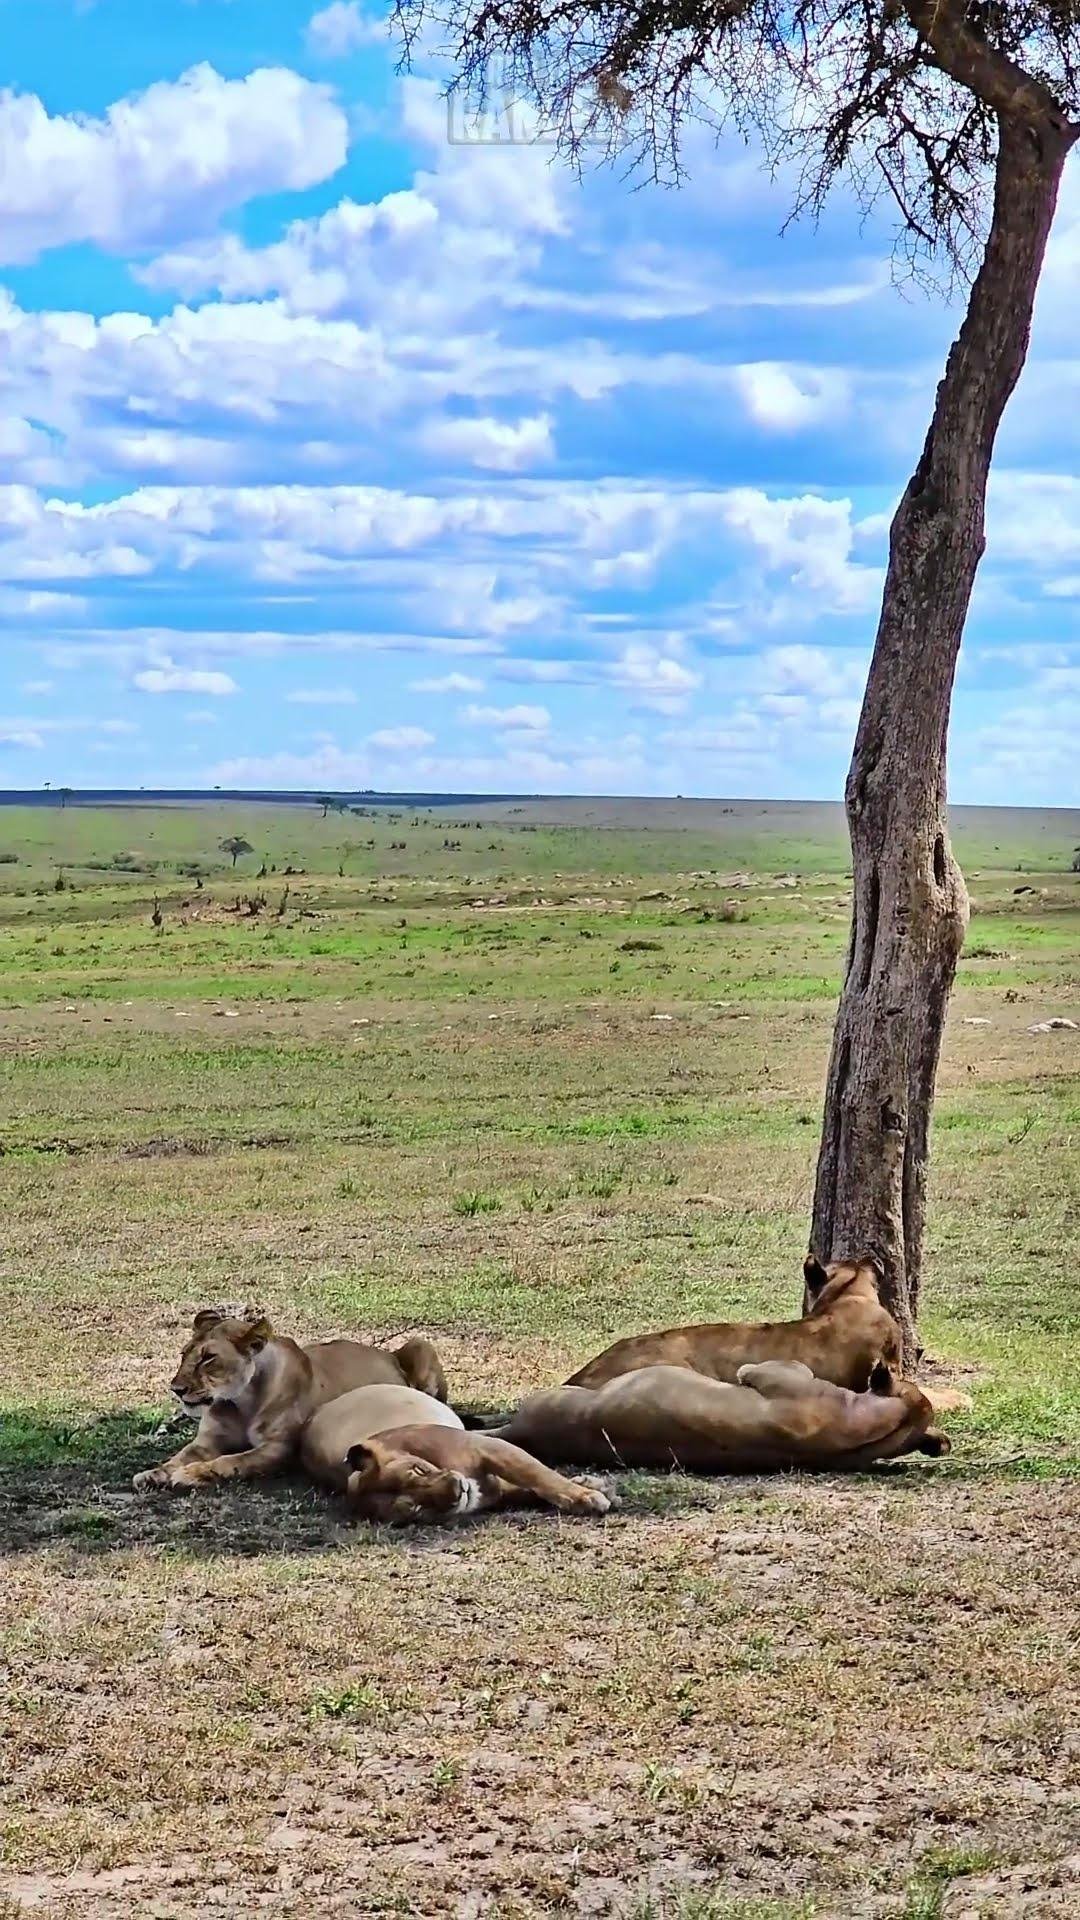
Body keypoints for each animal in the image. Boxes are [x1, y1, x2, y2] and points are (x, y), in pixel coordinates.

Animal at [132, 1311, 448, 1492]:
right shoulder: (207, 1441)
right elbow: (179, 1456)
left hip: (420, 1343)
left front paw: (190, 1474)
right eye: (184, 1354)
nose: (176, 1389)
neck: (240, 1403)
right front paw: (152, 1473)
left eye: (208, 1358)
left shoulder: (280, 1448)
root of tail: (385, 1352)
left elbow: (232, 1461)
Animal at [301, 1382, 612, 1525]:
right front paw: (589, 1491)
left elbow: (539, 1476)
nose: (456, 1489)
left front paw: (586, 1494)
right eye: (416, 1508)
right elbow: (527, 1486)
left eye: (418, 1470)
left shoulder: (488, 1449)